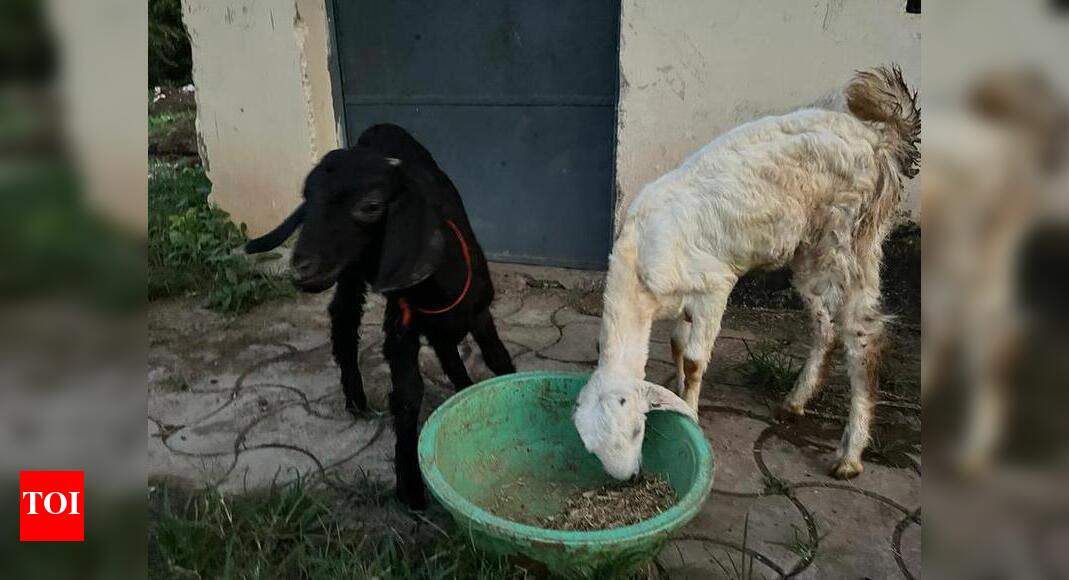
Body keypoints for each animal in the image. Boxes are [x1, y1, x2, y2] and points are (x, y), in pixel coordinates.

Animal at [246, 124, 516, 508]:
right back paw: (355, 397)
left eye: (371, 205)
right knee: (344, 319)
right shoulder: (401, 330)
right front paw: (411, 488)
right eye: (306, 198)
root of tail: (377, 130)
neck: (439, 288)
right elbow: (407, 395)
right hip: (350, 271)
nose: (301, 269)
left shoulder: (479, 314)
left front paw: (476, 391)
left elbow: (495, 359)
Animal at [574, 66, 920, 481]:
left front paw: (691, 411)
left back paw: (850, 455)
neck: (640, 262)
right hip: (810, 249)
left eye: (636, 431)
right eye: (592, 449)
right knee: (825, 326)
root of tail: (877, 135)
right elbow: (676, 345)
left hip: (852, 235)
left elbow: (695, 359)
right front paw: (677, 390)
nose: (630, 478)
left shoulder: (714, 286)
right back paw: (795, 402)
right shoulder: (684, 300)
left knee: (863, 335)